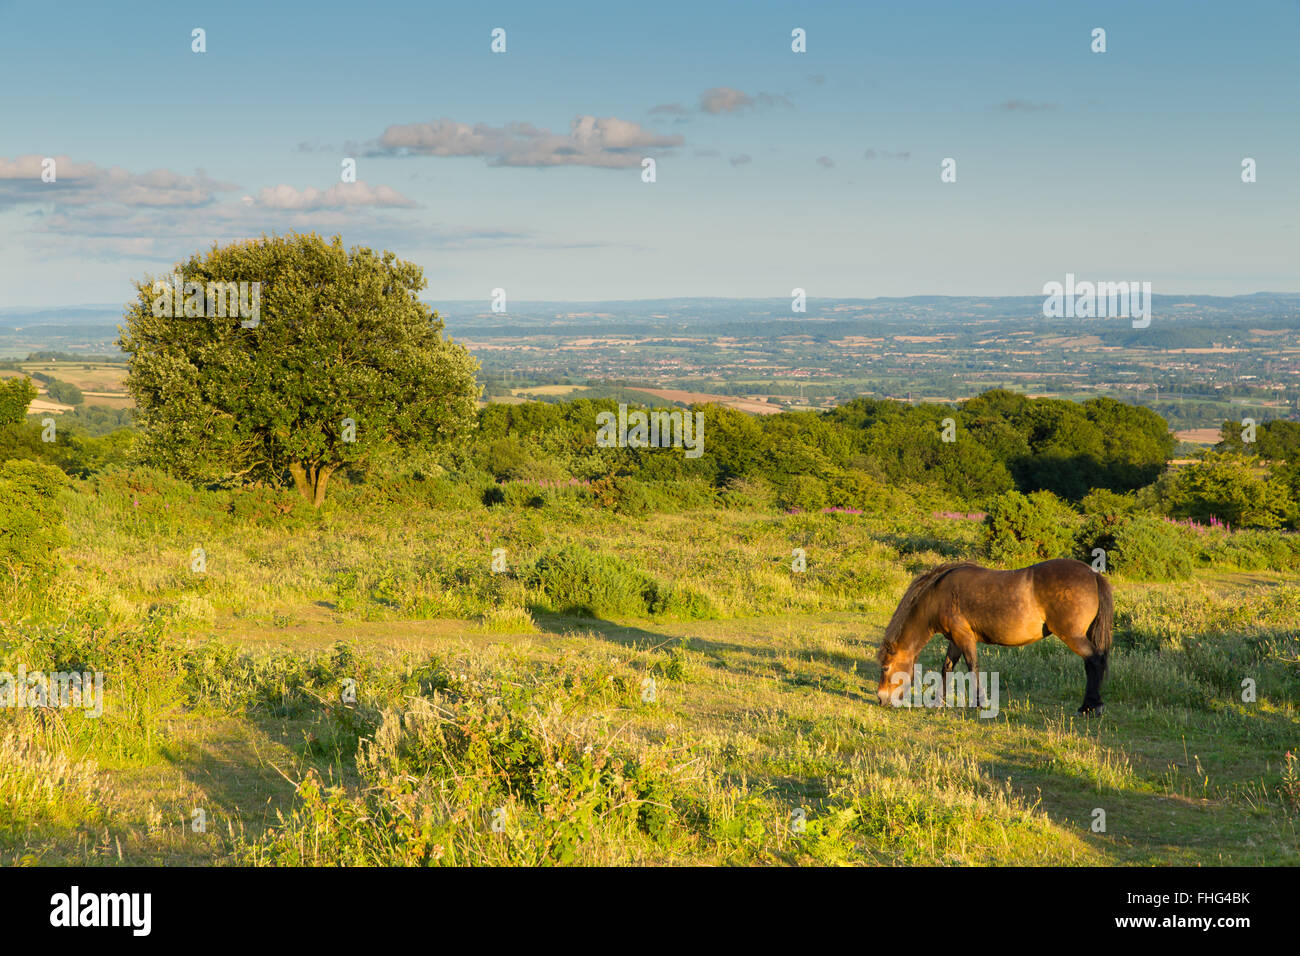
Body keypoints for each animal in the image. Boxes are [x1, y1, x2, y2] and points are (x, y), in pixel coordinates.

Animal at [875, 558, 1113, 716]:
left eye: (885, 667)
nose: (880, 698)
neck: (939, 595)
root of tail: (1093, 573)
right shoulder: (955, 640)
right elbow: (947, 667)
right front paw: (939, 702)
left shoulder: (964, 637)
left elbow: (973, 666)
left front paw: (980, 702)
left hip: (1072, 635)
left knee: (1094, 660)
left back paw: (1090, 706)